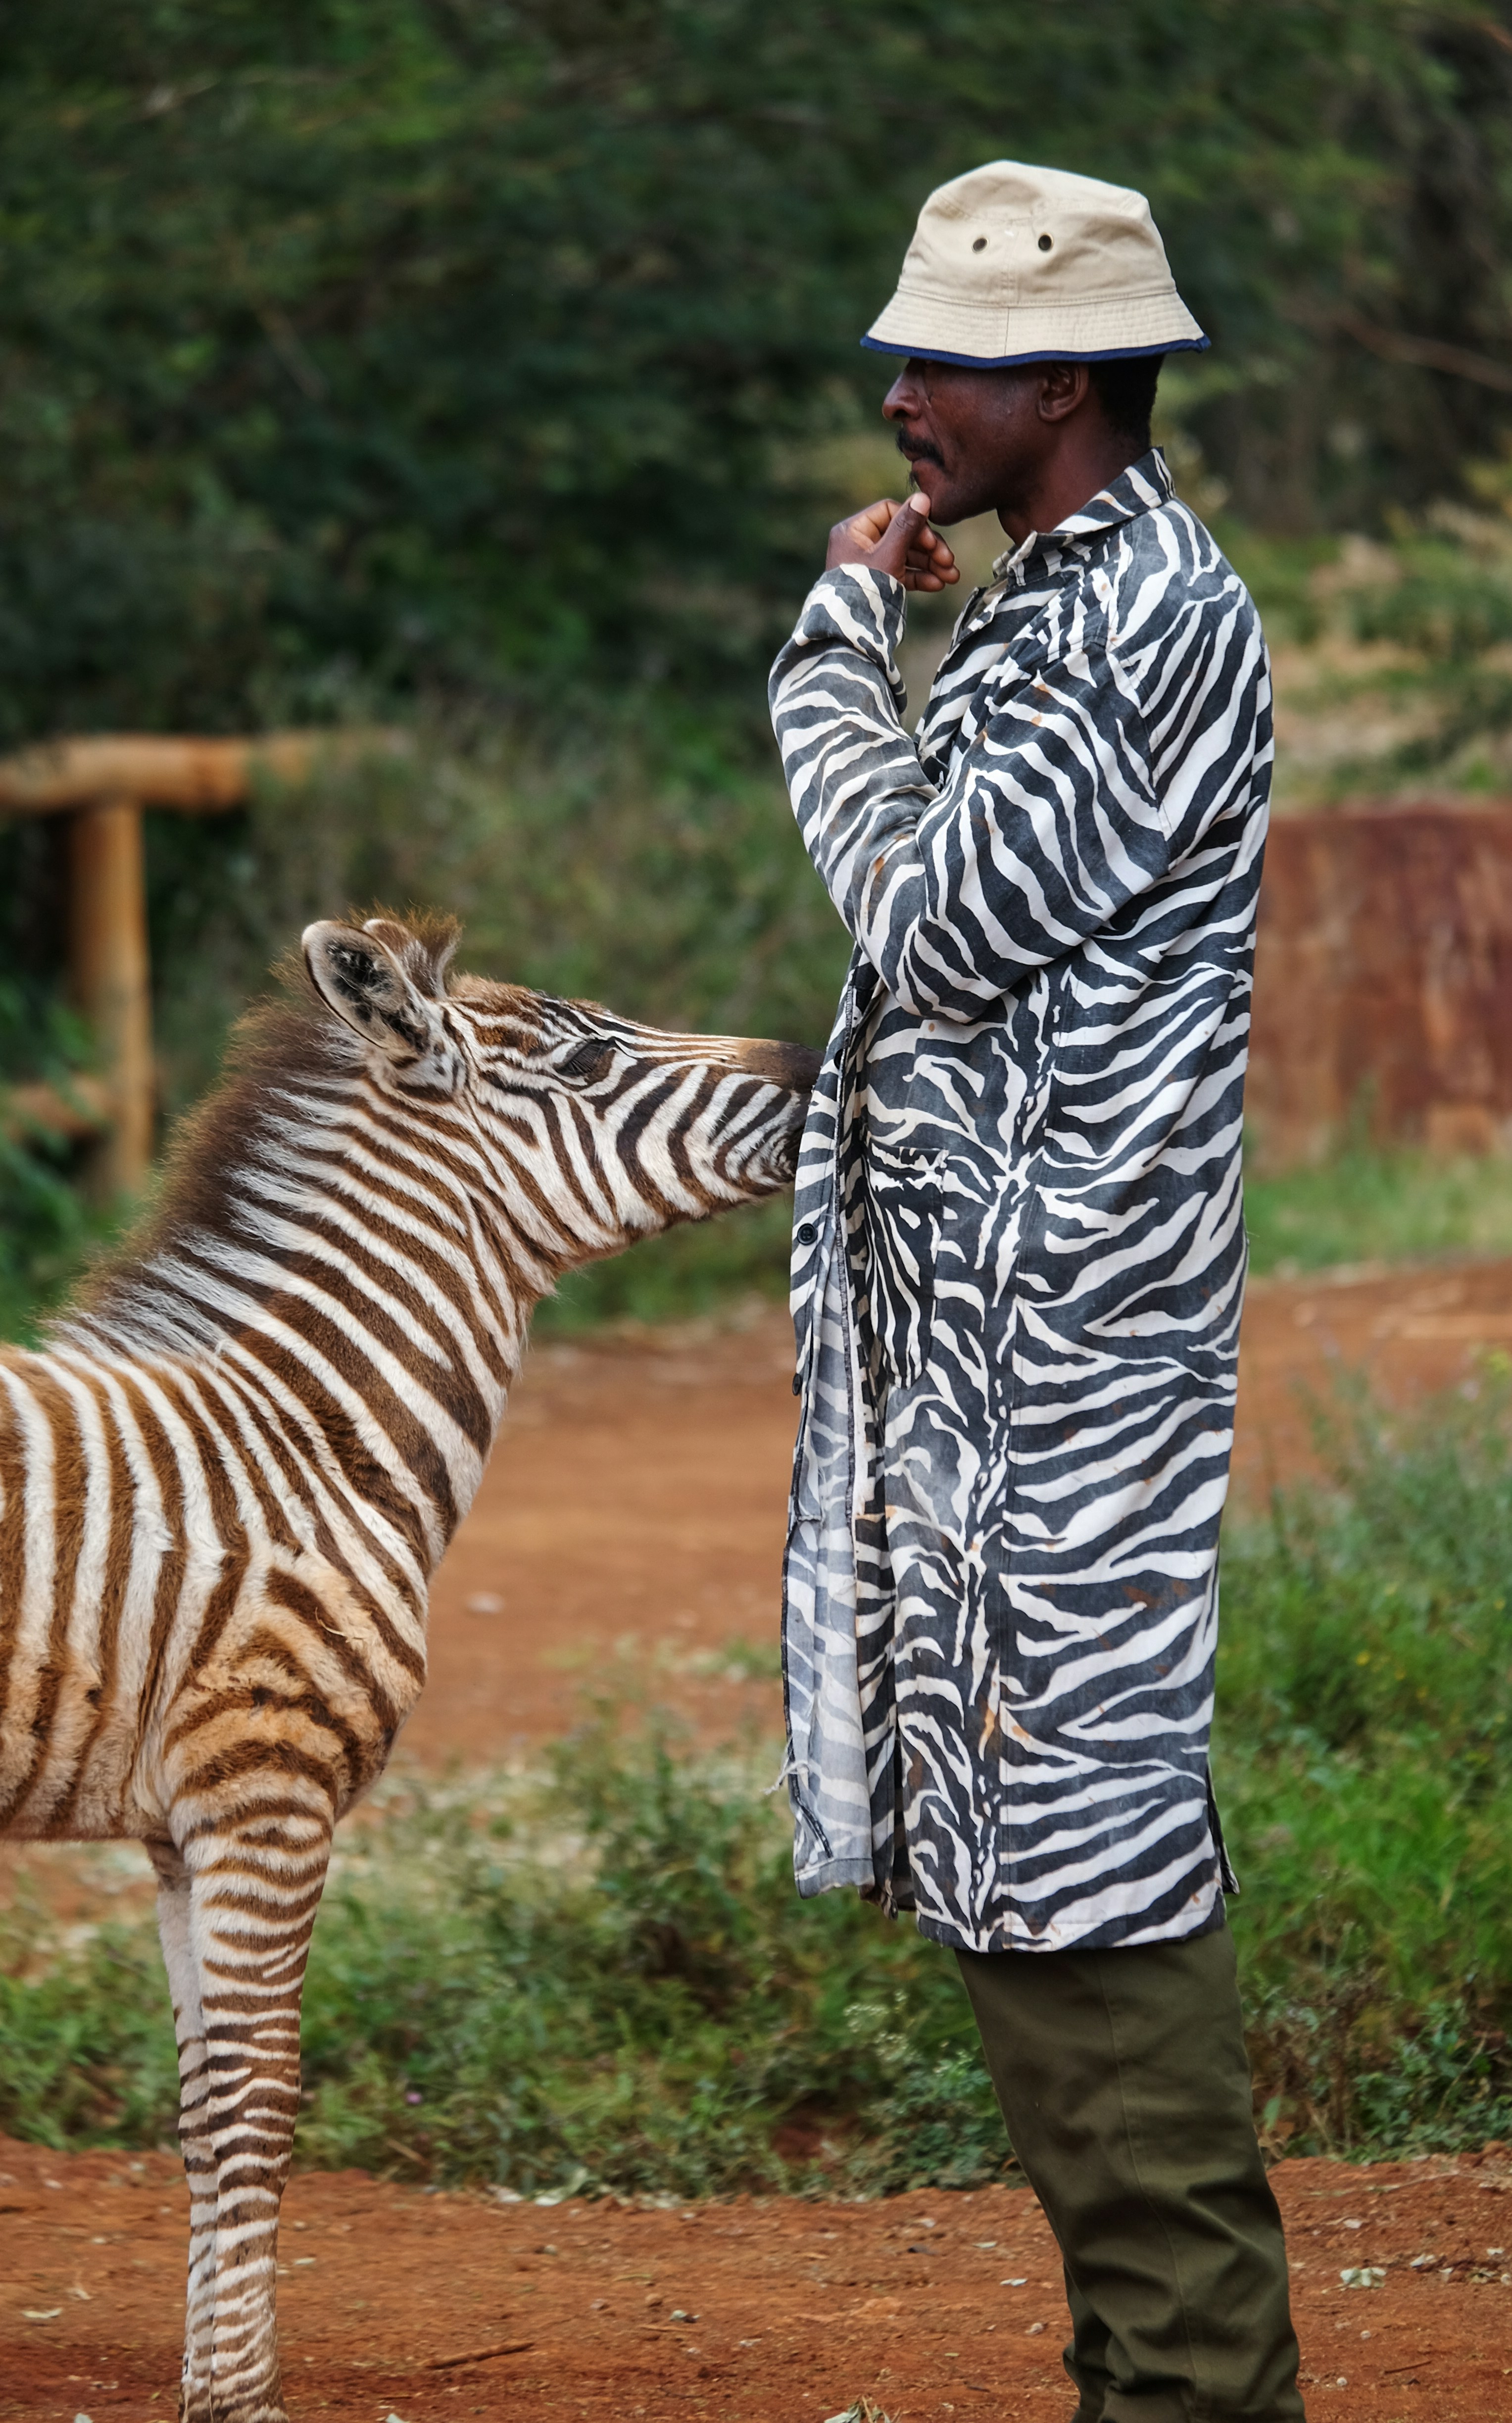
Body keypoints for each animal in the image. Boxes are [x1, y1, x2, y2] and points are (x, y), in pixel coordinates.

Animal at [0, 912, 818, 2423]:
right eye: (586, 1059)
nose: (812, 1056)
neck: (305, 1438)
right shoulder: (269, 1789)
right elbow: (257, 2106)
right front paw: (242, 2403)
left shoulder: (179, 1828)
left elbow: (199, 2109)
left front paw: (212, 2388)